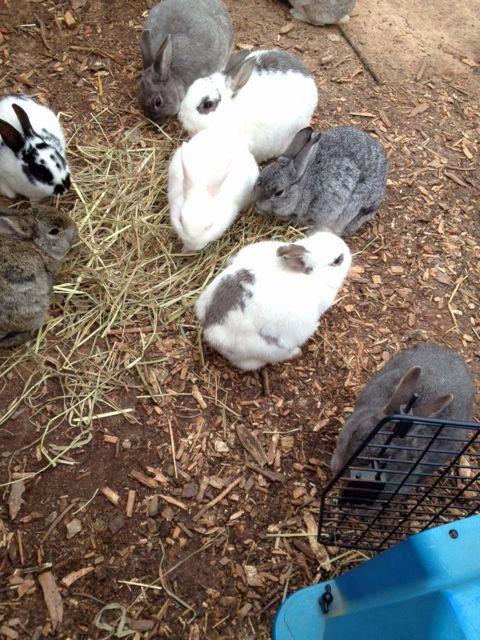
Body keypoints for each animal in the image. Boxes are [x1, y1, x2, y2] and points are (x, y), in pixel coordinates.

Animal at [195, 230, 351, 371]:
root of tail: (211, 327)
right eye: (337, 260)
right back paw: (296, 352)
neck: (313, 276)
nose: (348, 250)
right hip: (273, 349)